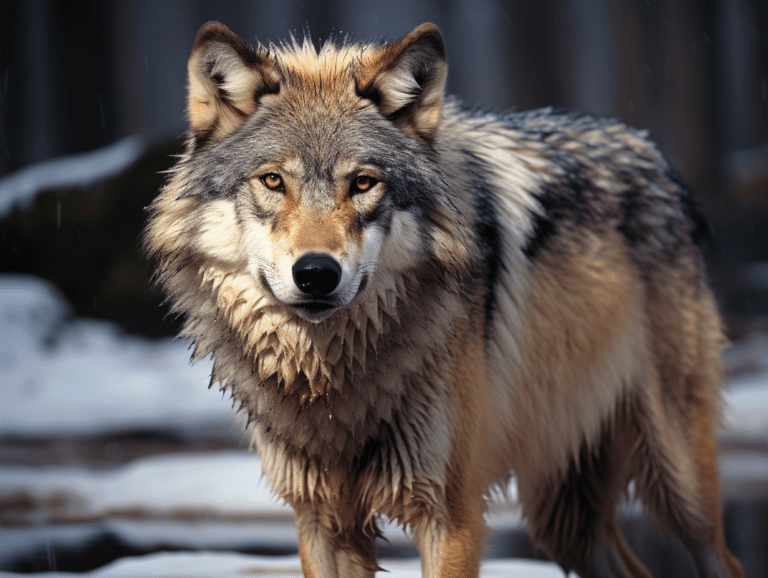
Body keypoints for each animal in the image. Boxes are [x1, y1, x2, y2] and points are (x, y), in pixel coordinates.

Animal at [144, 21, 744, 578]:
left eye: (363, 184)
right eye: (272, 181)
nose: (316, 273)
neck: (334, 383)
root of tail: (648, 148)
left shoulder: (451, 516)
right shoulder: (321, 519)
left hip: (678, 481)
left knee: (722, 558)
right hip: (564, 517)